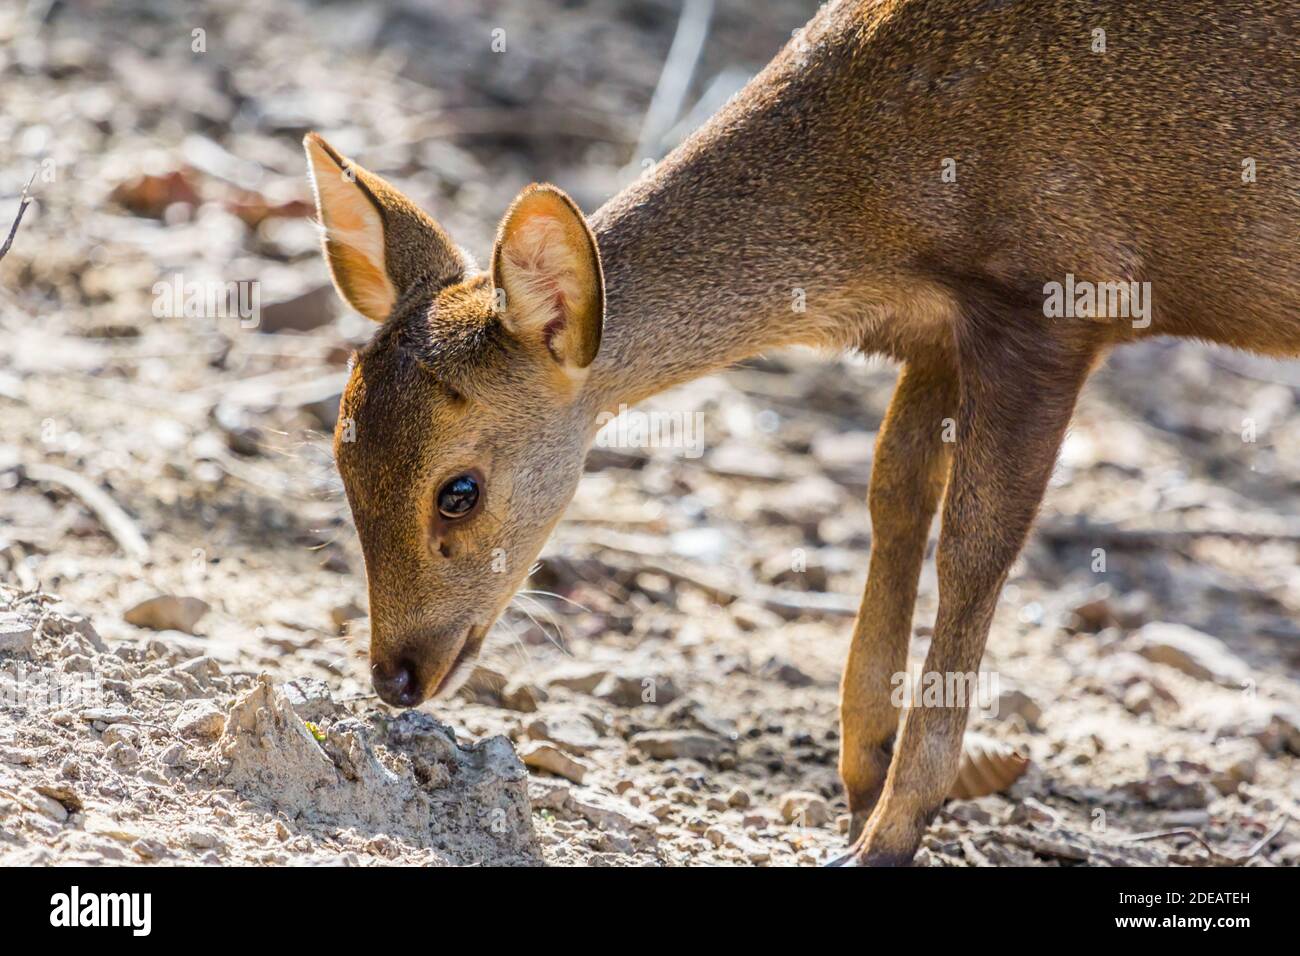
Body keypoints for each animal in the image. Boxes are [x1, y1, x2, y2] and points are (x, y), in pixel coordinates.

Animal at [303, 0, 1298, 865]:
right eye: (339, 463)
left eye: (458, 492)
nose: (394, 675)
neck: (872, 219)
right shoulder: (937, 333)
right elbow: (894, 502)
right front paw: (860, 782)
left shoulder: (1056, 300)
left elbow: (975, 551)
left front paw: (890, 833)